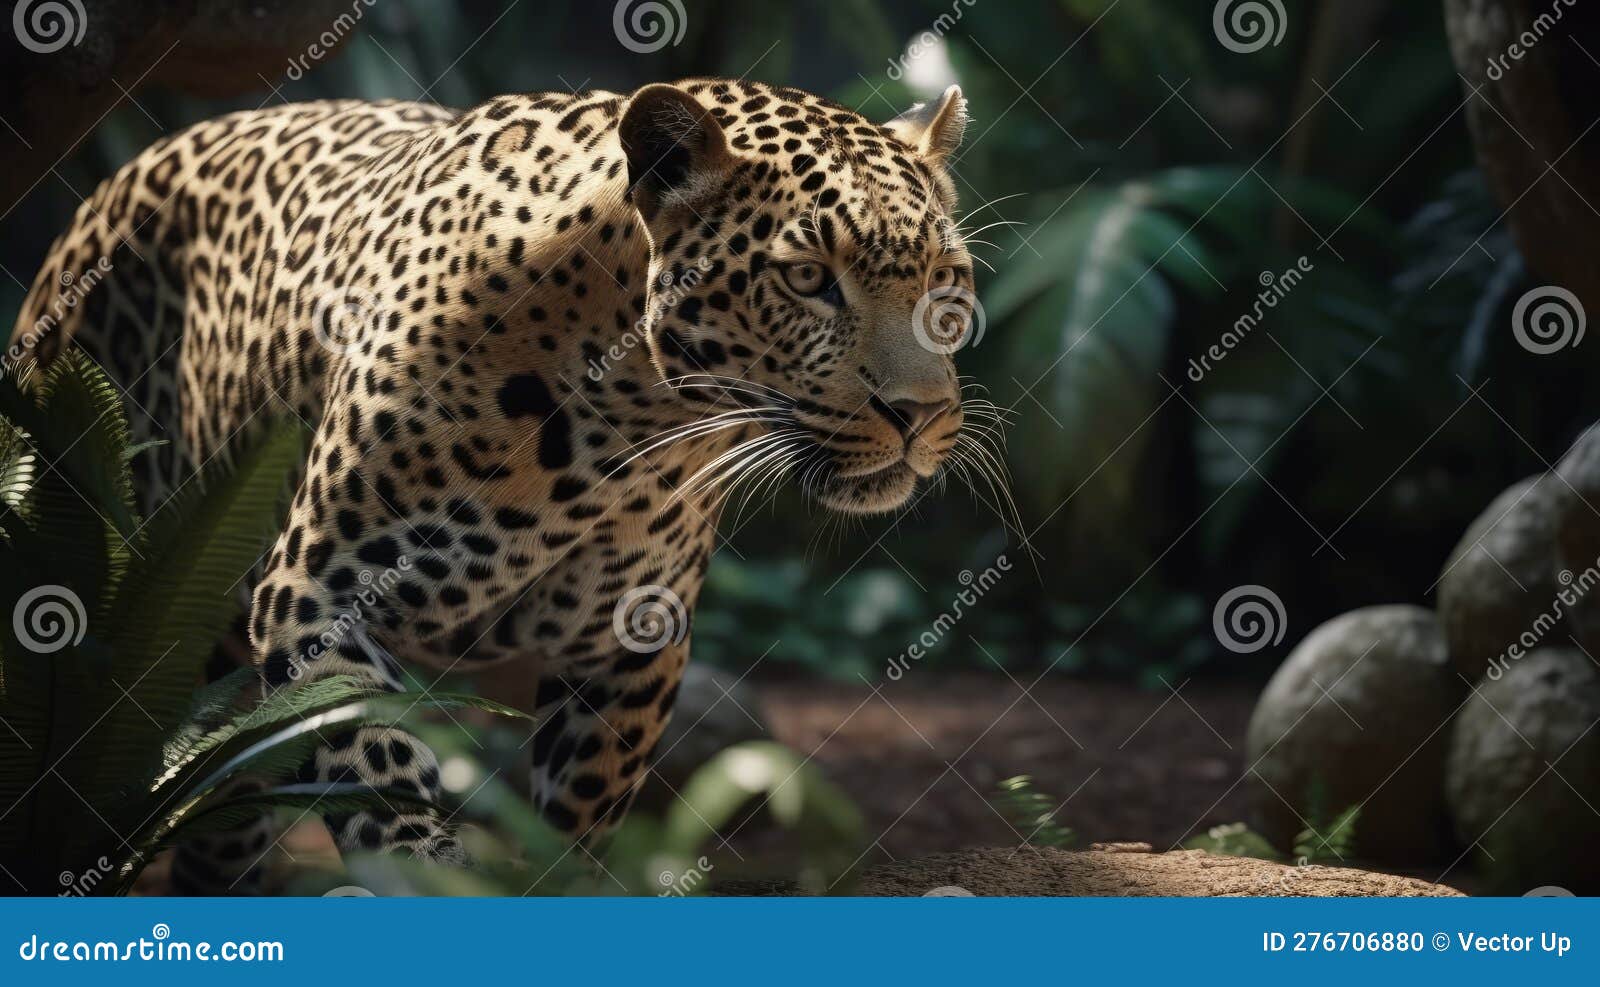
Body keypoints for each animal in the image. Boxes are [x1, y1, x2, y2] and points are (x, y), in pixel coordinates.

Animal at [8, 77, 994, 892]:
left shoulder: (628, 641)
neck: (622, 426)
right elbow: (377, 765)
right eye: (806, 279)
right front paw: (426, 874)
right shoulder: (312, 594)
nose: (921, 413)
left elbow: (578, 814)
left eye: (946, 280)